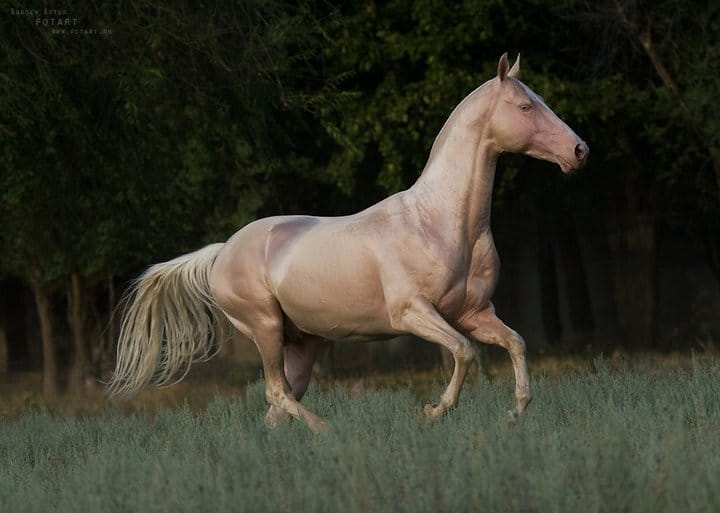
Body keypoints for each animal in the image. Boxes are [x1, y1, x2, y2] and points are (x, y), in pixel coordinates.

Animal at [108, 54, 588, 433]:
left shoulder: (474, 313)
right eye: (525, 105)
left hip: (303, 342)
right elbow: (463, 352)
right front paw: (434, 411)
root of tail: (221, 252)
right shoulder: (412, 313)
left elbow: (515, 343)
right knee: (278, 394)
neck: (438, 222)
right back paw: (328, 431)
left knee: (278, 405)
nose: (580, 151)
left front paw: (515, 412)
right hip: (264, 328)